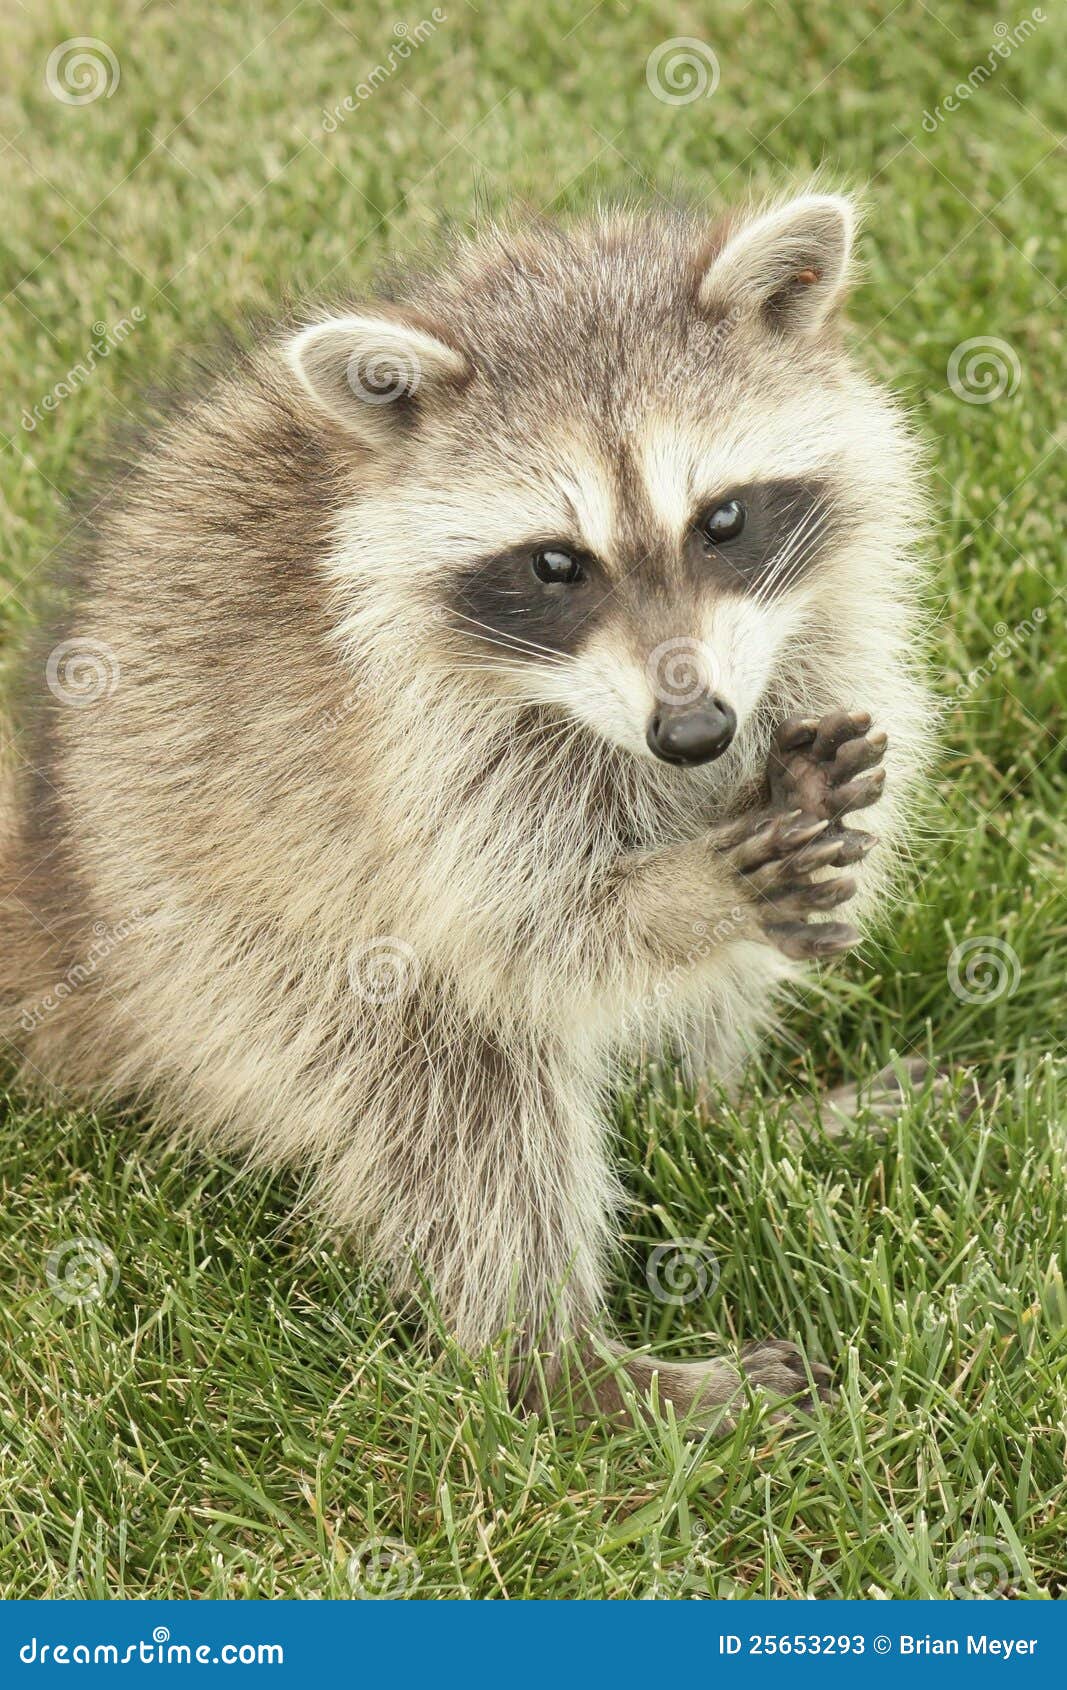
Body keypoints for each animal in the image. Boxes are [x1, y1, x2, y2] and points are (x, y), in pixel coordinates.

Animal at [1, 191, 934, 1426]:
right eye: (555, 564)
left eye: (723, 518)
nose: (694, 733)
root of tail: (67, 882)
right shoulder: (416, 751)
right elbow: (526, 929)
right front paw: (686, 893)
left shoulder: (817, 633)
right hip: (240, 958)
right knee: (458, 1101)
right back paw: (565, 1366)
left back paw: (717, 1107)